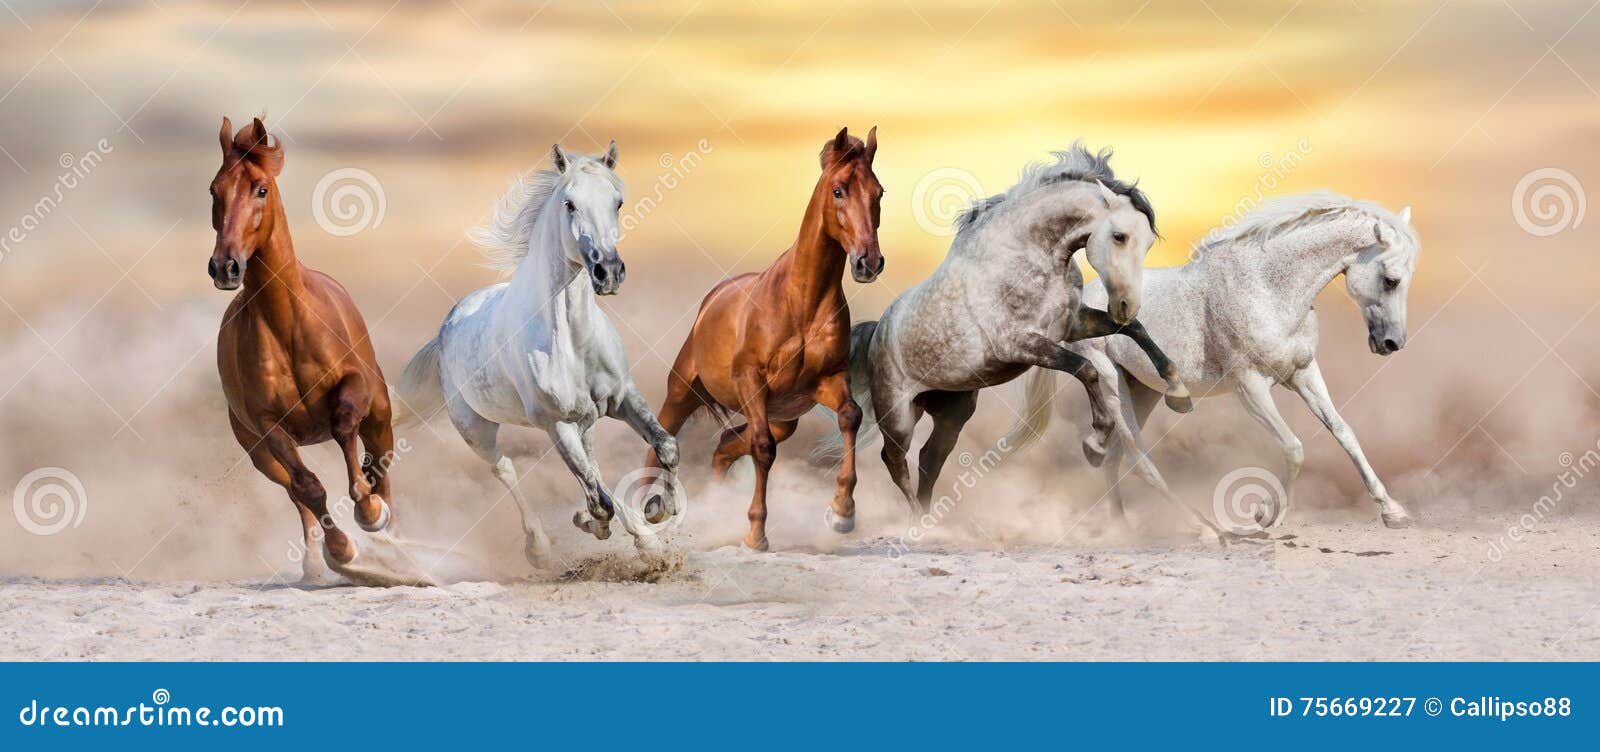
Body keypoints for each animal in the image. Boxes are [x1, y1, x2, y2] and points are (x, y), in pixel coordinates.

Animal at [210, 117, 407, 586]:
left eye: (261, 189)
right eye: (214, 190)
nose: (225, 266)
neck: (286, 324)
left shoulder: (356, 388)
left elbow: (344, 427)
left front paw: (368, 510)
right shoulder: (267, 428)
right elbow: (310, 487)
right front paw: (342, 551)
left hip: (381, 414)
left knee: (382, 465)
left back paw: (390, 536)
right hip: (259, 453)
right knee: (296, 493)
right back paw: (317, 564)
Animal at [396, 141, 681, 568]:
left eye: (617, 202)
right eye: (570, 204)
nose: (608, 272)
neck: (572, 341)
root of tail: (448, 325)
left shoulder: (622, 398)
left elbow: (666, 447)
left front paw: (660, 510)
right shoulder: (555, 424)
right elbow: (598, 499)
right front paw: (597, 525)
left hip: (586, 419)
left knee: (592, 464)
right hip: (476, 429)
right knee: (506, 470)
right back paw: (540, 546)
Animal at [644, 127, 885, 552]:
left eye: (879, 193)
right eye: (839, 190)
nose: (868, 262)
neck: (800, 302)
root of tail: (713, 299)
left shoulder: (828, 380)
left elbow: (850, 417)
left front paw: (842, 512)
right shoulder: (751, 383)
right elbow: (762, 448)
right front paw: (756, 533)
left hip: (784, 418)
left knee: (724, 446)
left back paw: (714, 506)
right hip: (683, 393)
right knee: (659, 444)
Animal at [823, 143, 1217, 537]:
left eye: (1148, 241)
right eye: (1119, 236)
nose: (1125, 304)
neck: (1028, 258)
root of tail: (877, 331)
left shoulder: (1073, 325)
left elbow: (1136, 330)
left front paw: (1179, 394)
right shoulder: (1021, 344)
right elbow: (1086, 369)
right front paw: (1096, 443)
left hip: (953, 411)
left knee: (928, 460)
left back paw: (929, 521)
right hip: (899, 417)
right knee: (894, 461)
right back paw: (917, 528)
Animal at [1006, 192, 1419, 531]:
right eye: (1391, 279)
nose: (1391, 343)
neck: (1268, 288)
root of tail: (1076, 306)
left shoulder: (1303, 373)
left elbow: (1343, 432)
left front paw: (1393, 511)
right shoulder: (1249, 386)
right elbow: (1293, 447)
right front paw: (1266, 515)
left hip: (1143, 391)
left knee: (1115, 459)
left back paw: (1121, 523)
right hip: (1112, 383)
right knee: (1138, 461)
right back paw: (1200, 528)